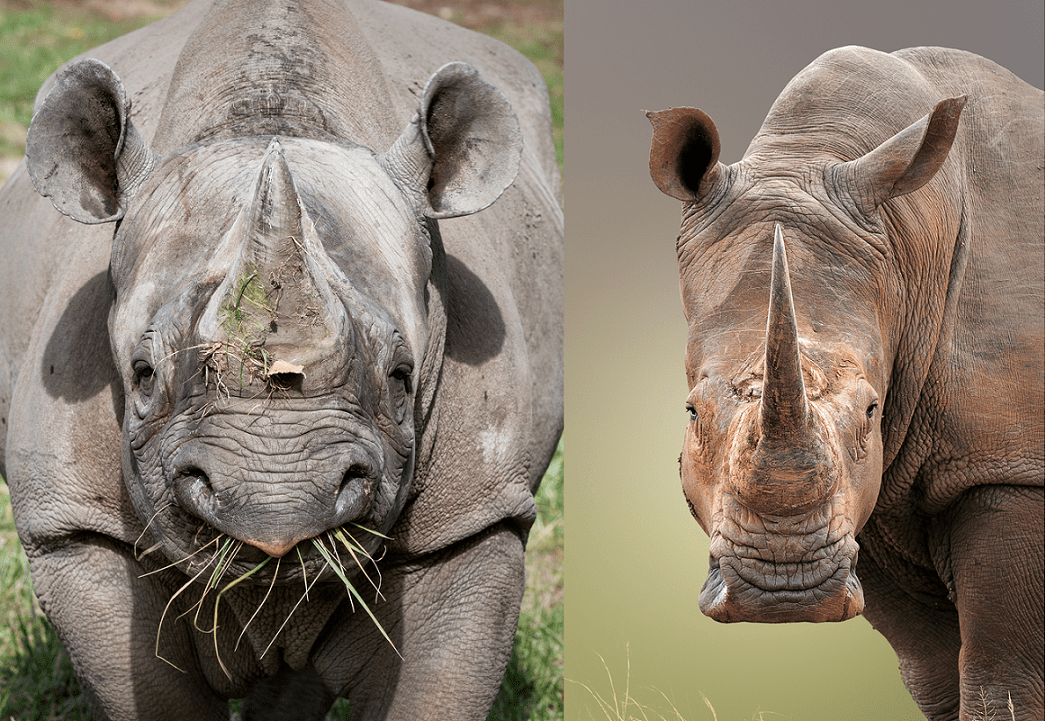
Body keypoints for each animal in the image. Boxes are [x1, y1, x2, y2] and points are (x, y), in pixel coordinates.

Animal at [0, 0, 562, 718]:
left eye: (402, 377)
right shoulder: (76, 523)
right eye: (143, 376)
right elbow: (147, 687)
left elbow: (436, 682)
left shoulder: (474, 518)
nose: (275, 507)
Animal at [647, 46, 1043, 720]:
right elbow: (937, 674)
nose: (783, 589)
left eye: (870, 410)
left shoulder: (1010, 468)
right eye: (693, 411)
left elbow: (1005, 681)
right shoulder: (872, 496)